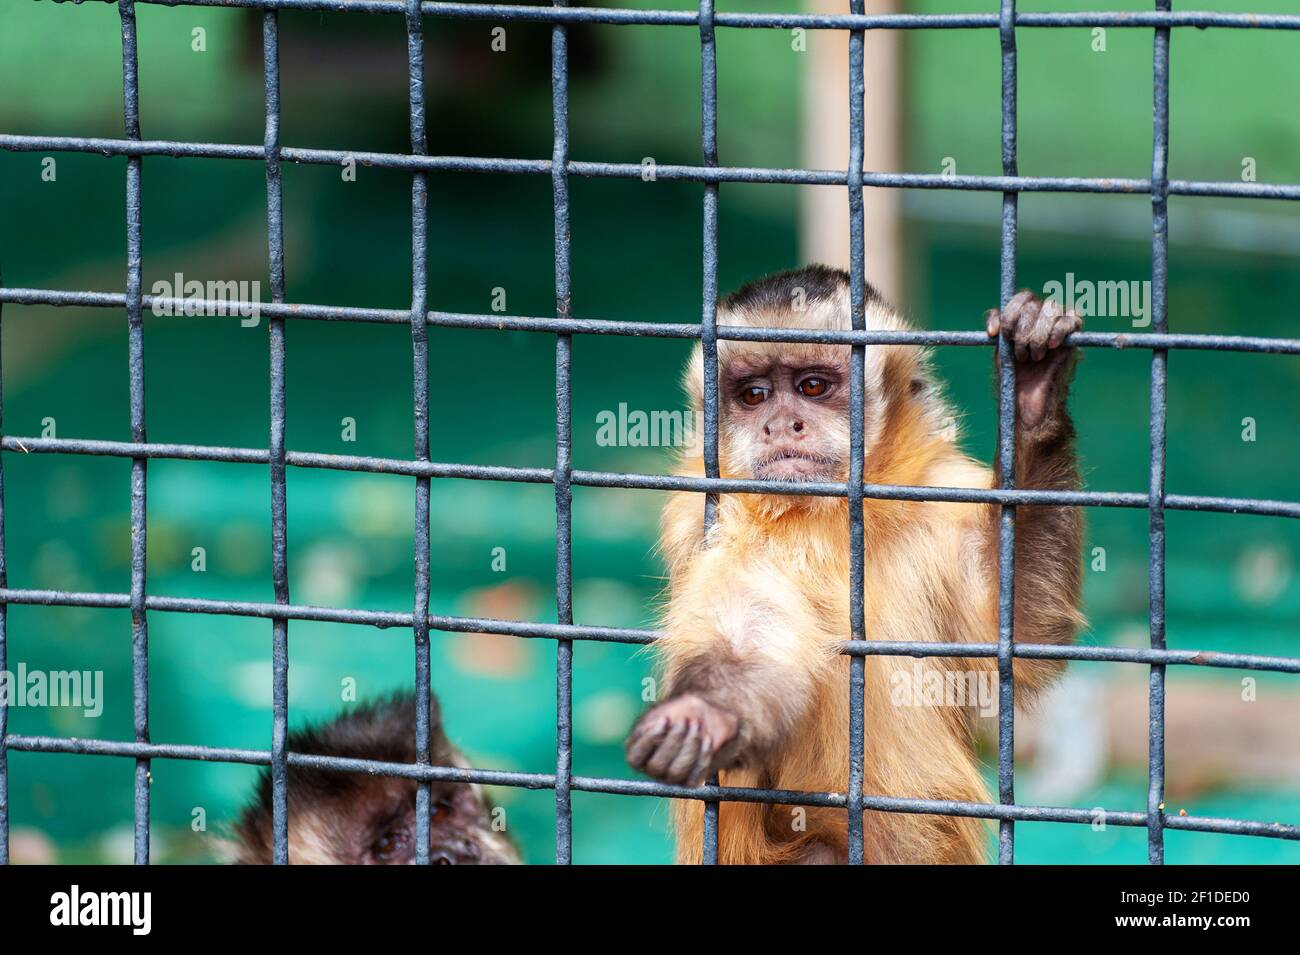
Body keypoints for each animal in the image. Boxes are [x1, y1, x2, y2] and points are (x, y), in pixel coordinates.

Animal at [625, 265, 1084, 864]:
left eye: (812, 387)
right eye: (754, 395)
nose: (781, 424)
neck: (836, 513)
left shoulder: (943, 491)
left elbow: (1023, 641)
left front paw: (1032, 394)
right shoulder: (713, 518)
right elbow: (750, 643)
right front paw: (704, 713)